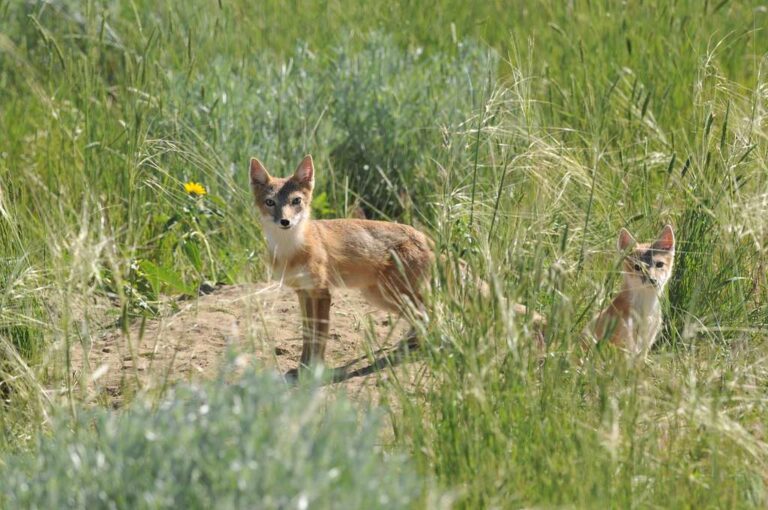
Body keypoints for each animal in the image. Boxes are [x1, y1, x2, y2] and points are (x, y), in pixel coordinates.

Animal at [249, 155, 435, 371]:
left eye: (296, 200)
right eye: (270, 202)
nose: (285, 221)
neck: (291, 250)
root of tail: (424, 236)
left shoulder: (321, 293)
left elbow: (319, 335)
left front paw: (315, 367)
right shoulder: (303, 292)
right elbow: (307, 333)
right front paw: (303, 366)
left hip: (391, 295)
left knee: (429, 314)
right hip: (380, 296)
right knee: (423, 316)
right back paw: (412, 344)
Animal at [586, 224, 675, 356]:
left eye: (659, 264)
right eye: (637, 267)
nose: (653, 280)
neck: (646, 308)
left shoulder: (647, 342)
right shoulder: (624, 341)